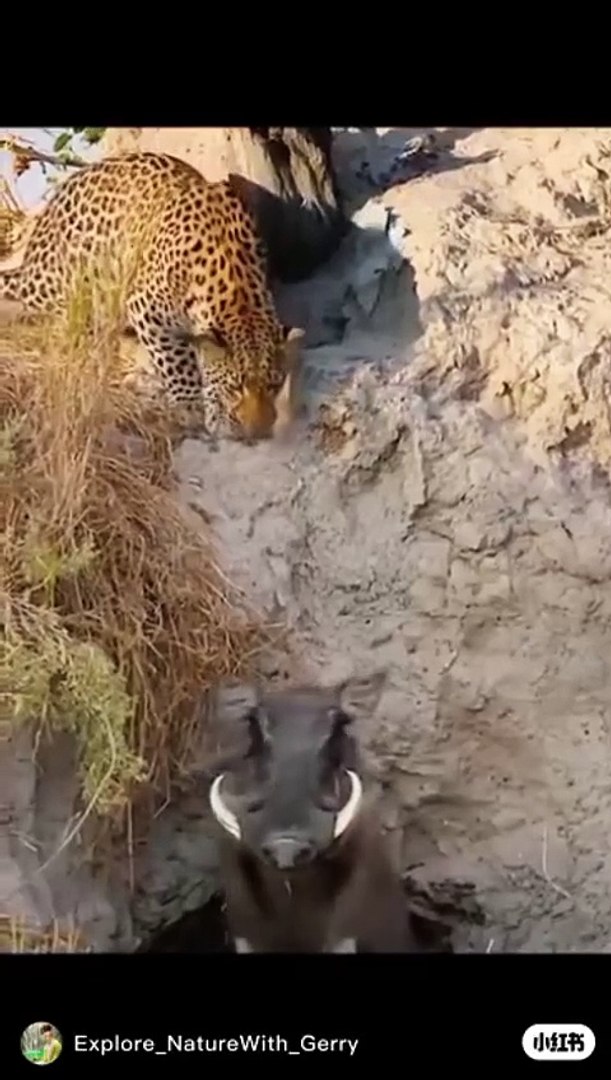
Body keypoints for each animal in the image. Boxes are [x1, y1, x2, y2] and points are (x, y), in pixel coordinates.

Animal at [0, 151, 305, 441]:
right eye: (236, 387)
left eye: (274, 385)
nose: (259, 431)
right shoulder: (146, 311)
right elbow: (178, 364)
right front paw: (190, 408)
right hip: (65, 281)